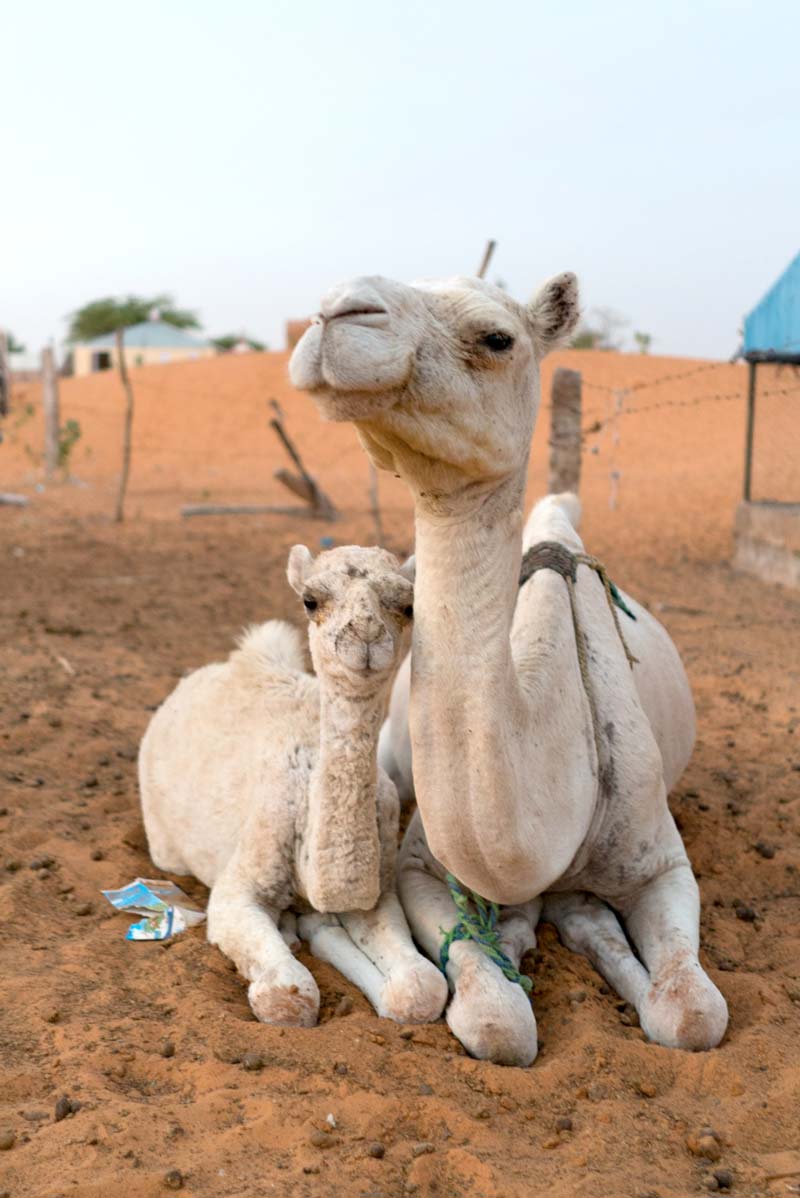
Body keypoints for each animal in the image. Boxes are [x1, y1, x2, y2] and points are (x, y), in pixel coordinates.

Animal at [139, 543, 447, 1028]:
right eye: (311, 600)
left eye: (407, 605)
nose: (365, 634)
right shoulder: (238, 887)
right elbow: (286, 997)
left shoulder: (378, 890)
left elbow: (422, 988)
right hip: (164, 845)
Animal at [289, 271, 728, 1065]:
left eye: (497, 337)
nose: (336, 312)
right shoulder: (421, 869)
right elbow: (497, 1022)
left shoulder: (664, 865)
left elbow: (693, 1014)